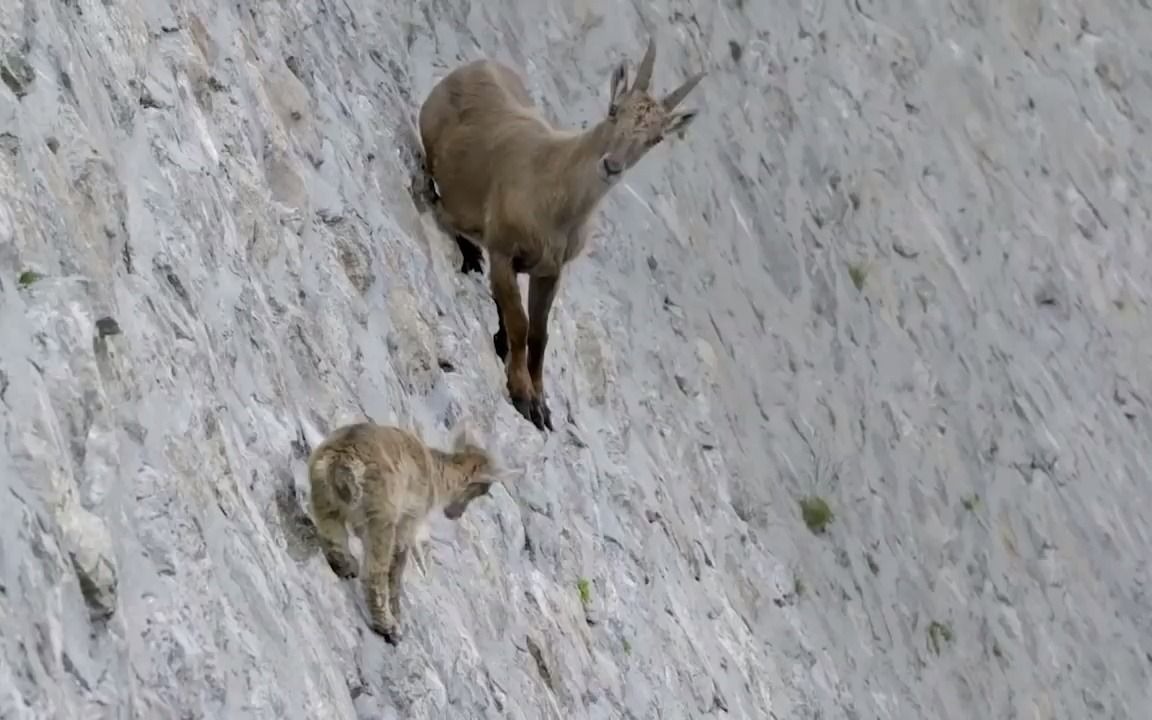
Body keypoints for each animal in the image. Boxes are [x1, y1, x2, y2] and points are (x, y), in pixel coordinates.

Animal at [416, 37, 704, 431]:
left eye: (655, 138)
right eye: (614, 110)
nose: (612, 165)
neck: (556, 196)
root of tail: (471, 68)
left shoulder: (550, 271)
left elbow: (539, 333)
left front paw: (542, 401)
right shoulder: (504, 250)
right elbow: (521, 322)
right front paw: (523, 394)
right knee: (440, 203)